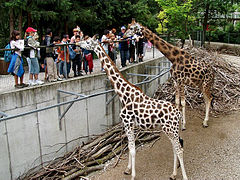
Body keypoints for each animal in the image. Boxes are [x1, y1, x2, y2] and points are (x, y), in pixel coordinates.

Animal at [77, 35, 188, 179]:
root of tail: (178, 113)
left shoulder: (128, 122)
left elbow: (133, 149)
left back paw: (184, 176)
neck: (123, 94)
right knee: (175, 148)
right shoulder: (131, 124)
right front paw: (128, 169)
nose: (78, 43)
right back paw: (173, 174)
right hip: (171, 130)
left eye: (88, 41)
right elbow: (130, 148)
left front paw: (133, 175)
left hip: (171, 129)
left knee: (179, 149)